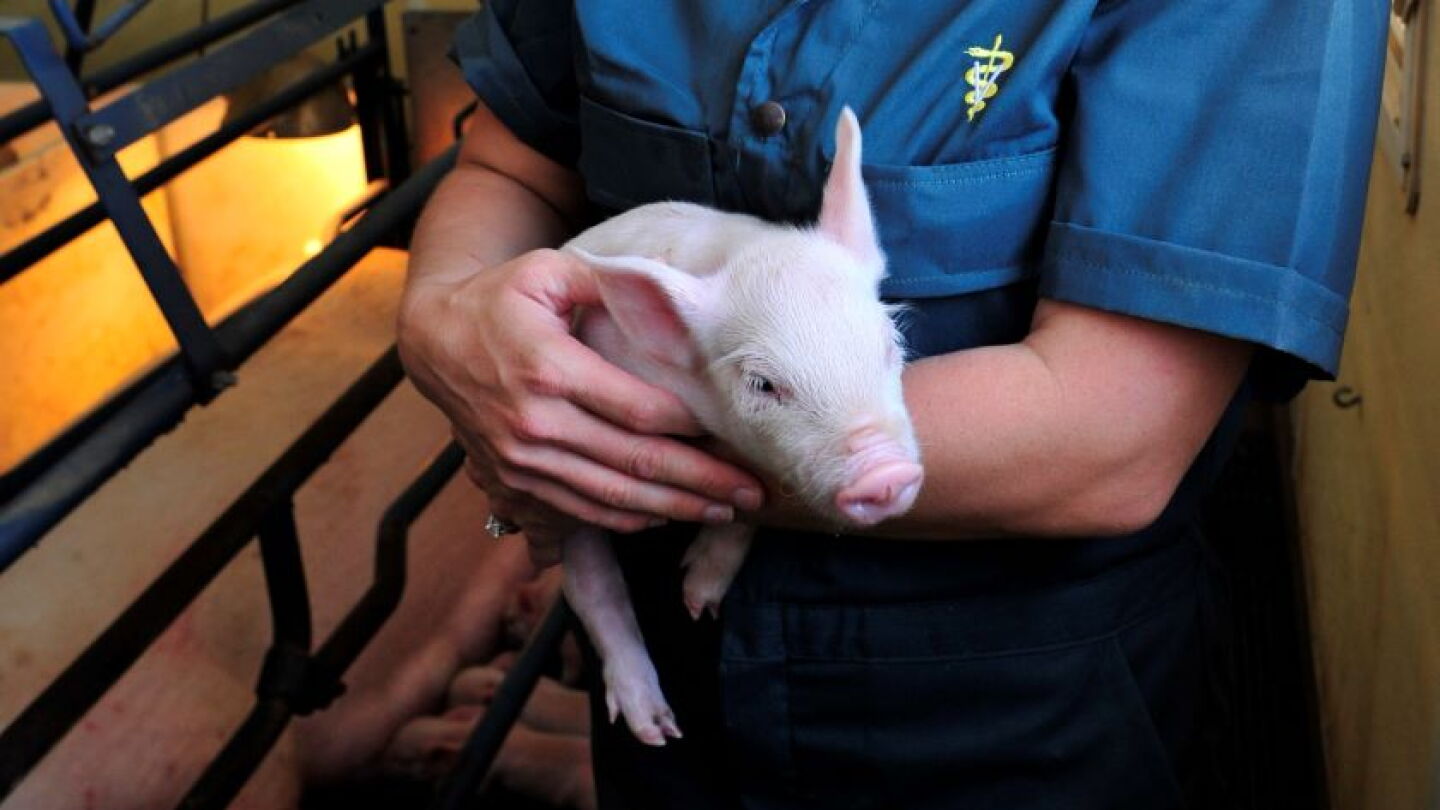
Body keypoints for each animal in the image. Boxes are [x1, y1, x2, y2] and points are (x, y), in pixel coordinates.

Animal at [559, 108, 923, 746]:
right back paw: (657, 729)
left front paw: (697, 600)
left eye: (888, 343)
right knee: (589, 581)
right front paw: (691, 608)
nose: (886, 471)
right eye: (763, 385)